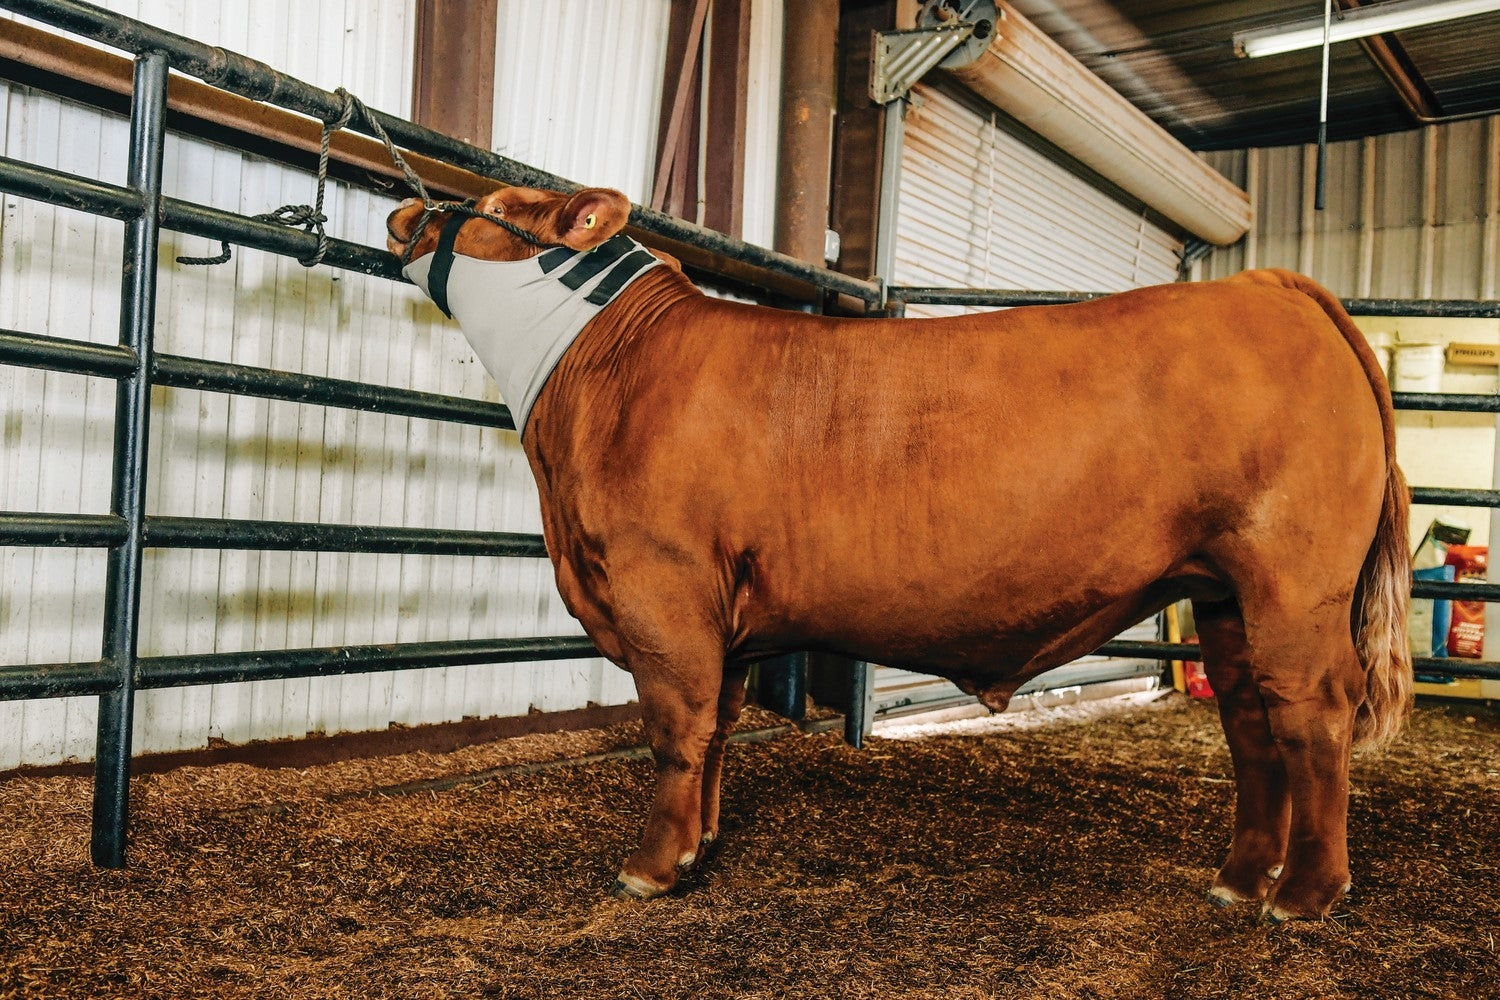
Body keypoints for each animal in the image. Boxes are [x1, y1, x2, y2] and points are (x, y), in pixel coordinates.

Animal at [386, 184, 1411, 923]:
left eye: (499, 202)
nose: (403, 210)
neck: (604, 375)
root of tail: (1264, 284)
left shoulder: (662, 587)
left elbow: (676, 729)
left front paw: (649, 868)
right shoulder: (719, 617)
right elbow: (717, 729)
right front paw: (701, 848)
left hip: (1294, 581)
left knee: (1314, 717)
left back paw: (1305, 895)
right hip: (1225, 592)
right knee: (1252, 724)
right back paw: (1239, 878)